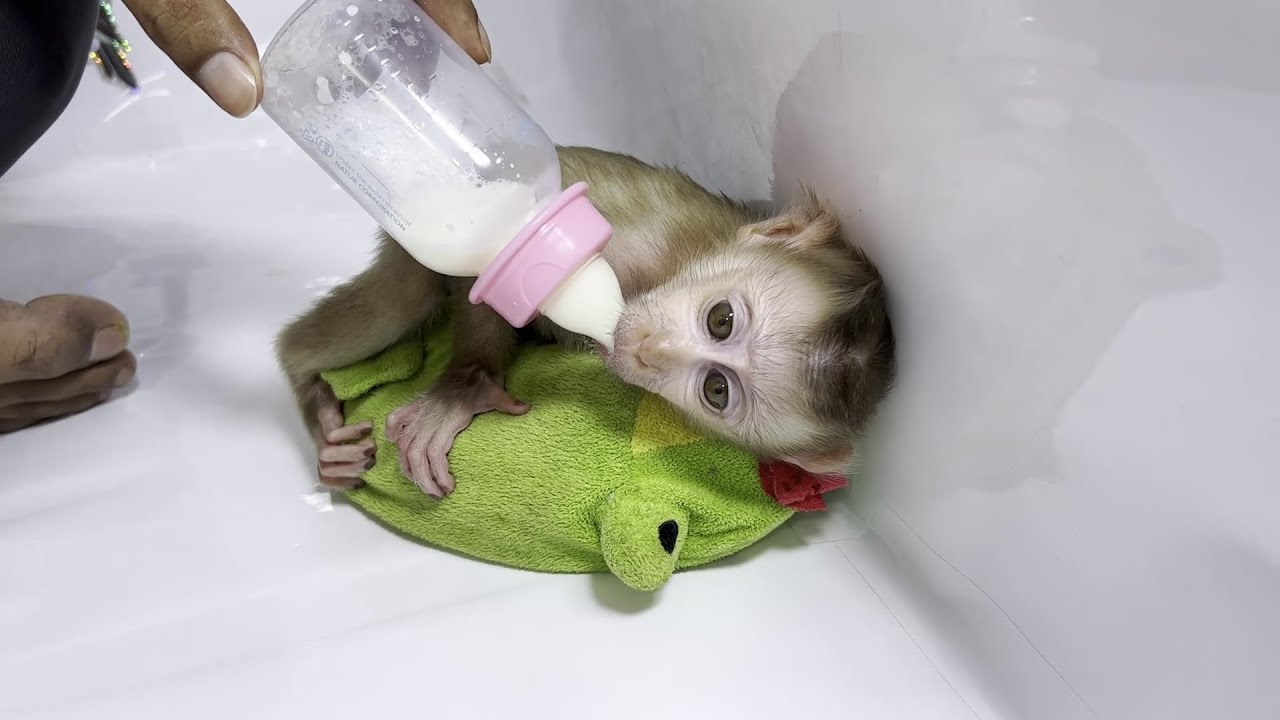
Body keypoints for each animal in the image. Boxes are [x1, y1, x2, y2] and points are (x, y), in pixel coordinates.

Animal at [276, 146, 895, 498]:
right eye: (722, 319)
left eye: (716, 390)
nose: (651, 349)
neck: (684, 259)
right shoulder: (630, 248)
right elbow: (502, 265)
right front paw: (465, 387)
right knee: (401, 300)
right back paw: (308, 387)